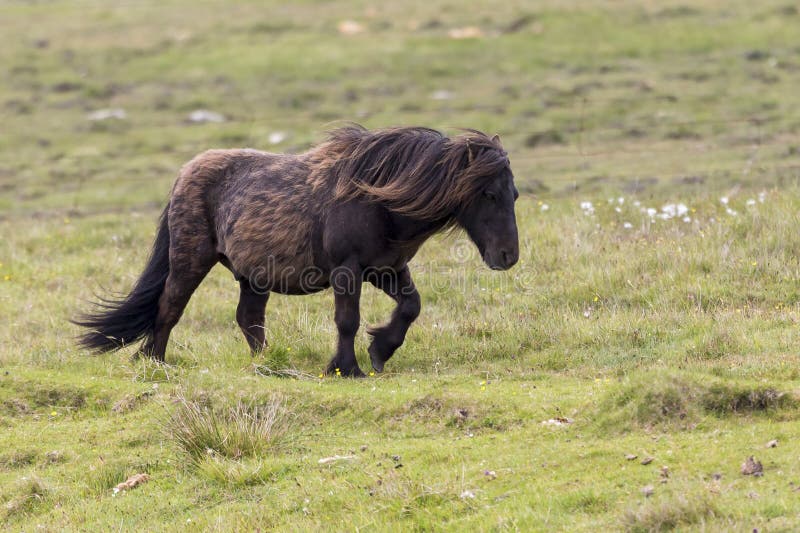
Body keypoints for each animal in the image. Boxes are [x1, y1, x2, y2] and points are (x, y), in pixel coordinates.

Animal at [74, 125, 519, 376]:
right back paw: (154, 361)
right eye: (489, 193)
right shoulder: (347, 271)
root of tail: (185, 173)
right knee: (169, 308)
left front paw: (380, 350)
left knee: (249, 319)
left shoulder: (388, 269)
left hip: (251, 277)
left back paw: (268, 363)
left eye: (514, 193)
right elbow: (347, 320)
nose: (508, 256)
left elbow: (411, 307)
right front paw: (347, 368)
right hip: (190, 261)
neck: (379, 201)